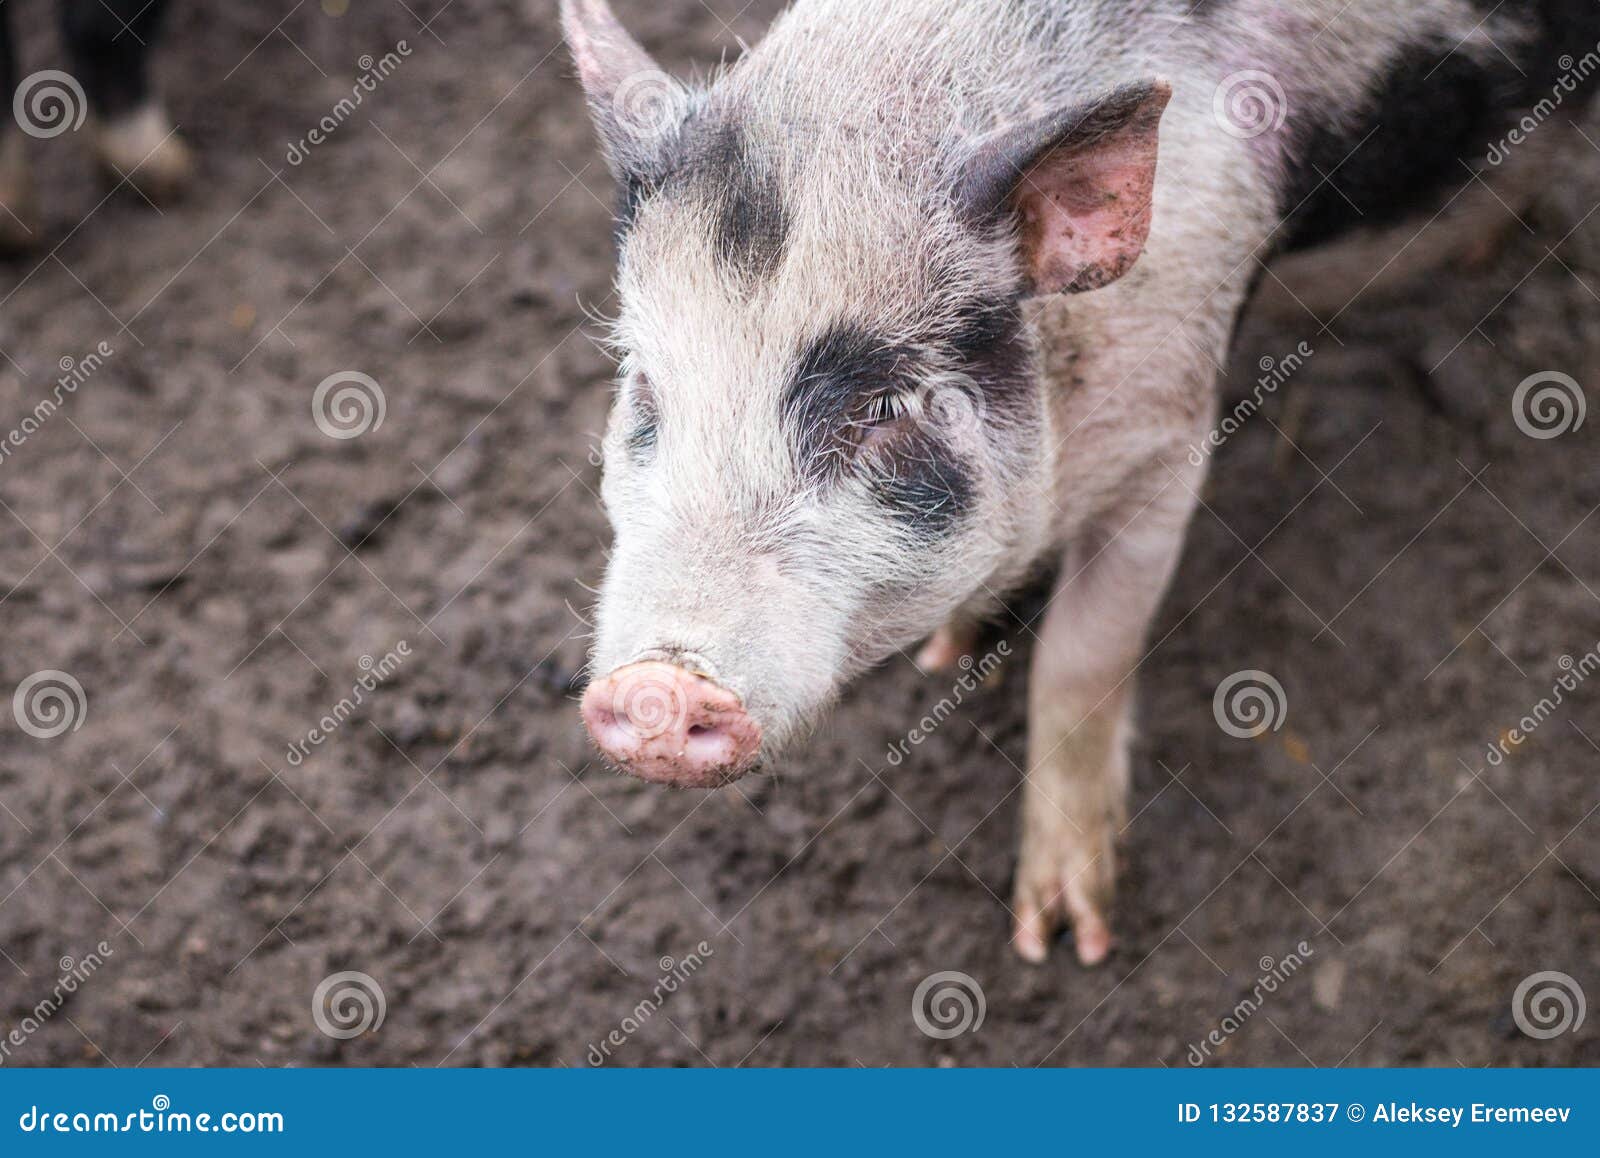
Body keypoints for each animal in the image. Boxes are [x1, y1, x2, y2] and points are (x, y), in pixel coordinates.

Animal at [566, 0, 1600, 963]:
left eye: (885, 409)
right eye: (646, 388)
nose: (659, 688)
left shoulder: (1171, 430)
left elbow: (1082, 658)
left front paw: (1063, 940)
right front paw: (949, 653)